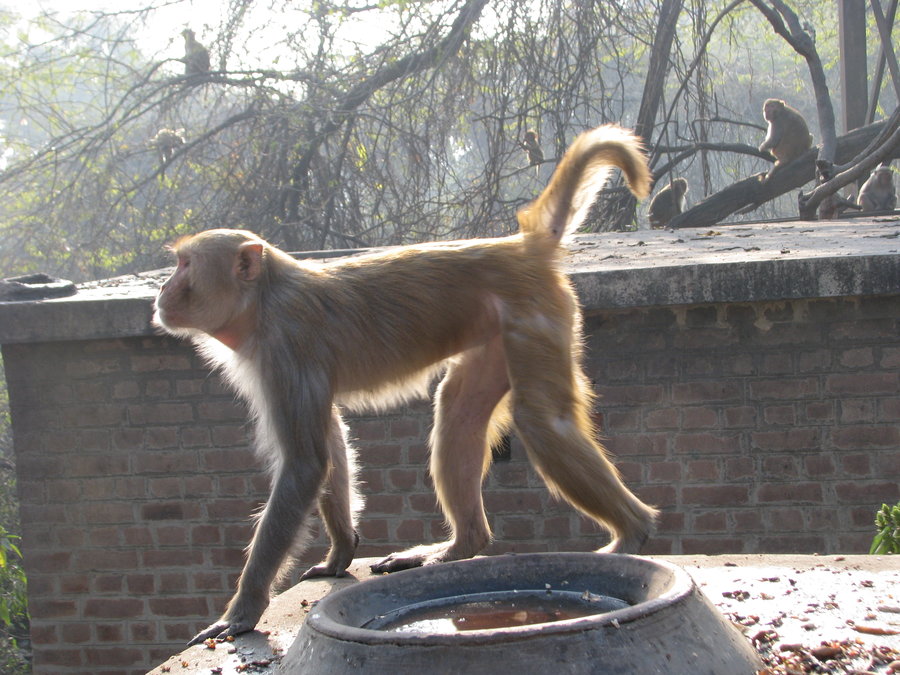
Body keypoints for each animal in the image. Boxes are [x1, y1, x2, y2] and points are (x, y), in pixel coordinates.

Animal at [153, 124, 658, 646]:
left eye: (186, 266)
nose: (163, 289)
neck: (265, 299)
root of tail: (522, 246)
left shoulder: (285, 349)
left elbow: (304, 465)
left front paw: (242, 612)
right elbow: (329, 446)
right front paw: (341, 552)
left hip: (536, 316)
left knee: (540, 420)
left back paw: (633, 534)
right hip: (498, 331)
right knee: (459, 410)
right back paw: (460, 545)